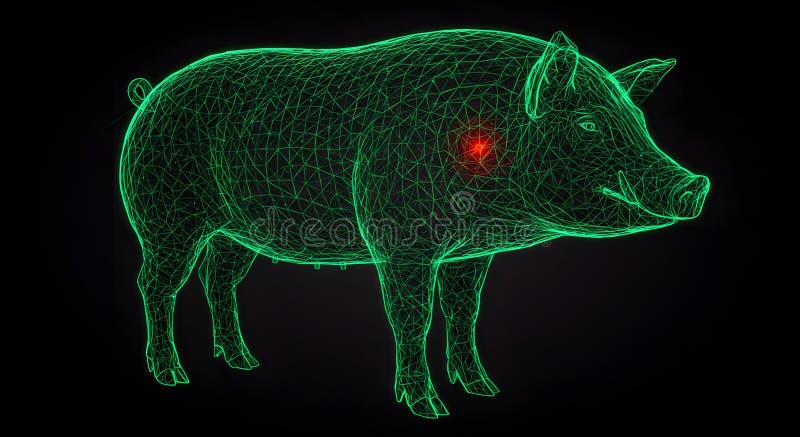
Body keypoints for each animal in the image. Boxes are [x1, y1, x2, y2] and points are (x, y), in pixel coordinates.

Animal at [120, 29, 710, 418]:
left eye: (640, 122)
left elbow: (464, 313)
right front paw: (429, 409)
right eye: (587, 124)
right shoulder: (401, 241)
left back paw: (244, 364)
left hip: (235, 232)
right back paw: (172, 375)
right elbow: (412, 318)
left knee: (218, 278)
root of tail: (148, 96)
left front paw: (485, 391)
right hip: (163, 217)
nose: (696, 184)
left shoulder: (472, 251)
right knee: (154, 284)